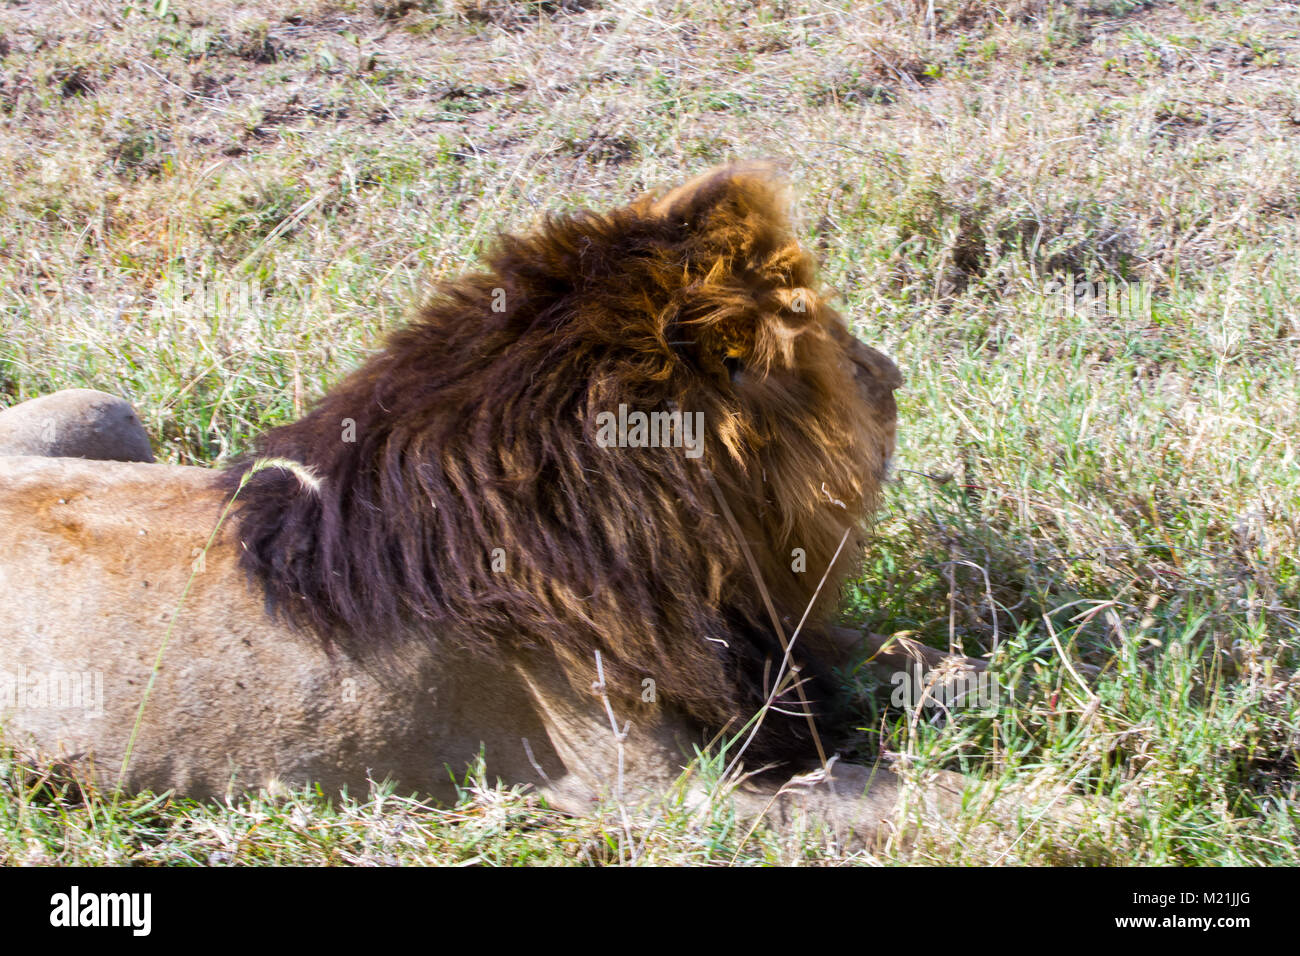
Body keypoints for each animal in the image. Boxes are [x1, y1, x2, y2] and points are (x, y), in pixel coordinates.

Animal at [0, 164, 1001, 844]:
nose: (898, 376)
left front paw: (971, 673)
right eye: (834, 340)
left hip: (97, 406)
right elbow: (901, 797)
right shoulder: (661, 790)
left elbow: (908, 659)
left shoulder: (768, 645)